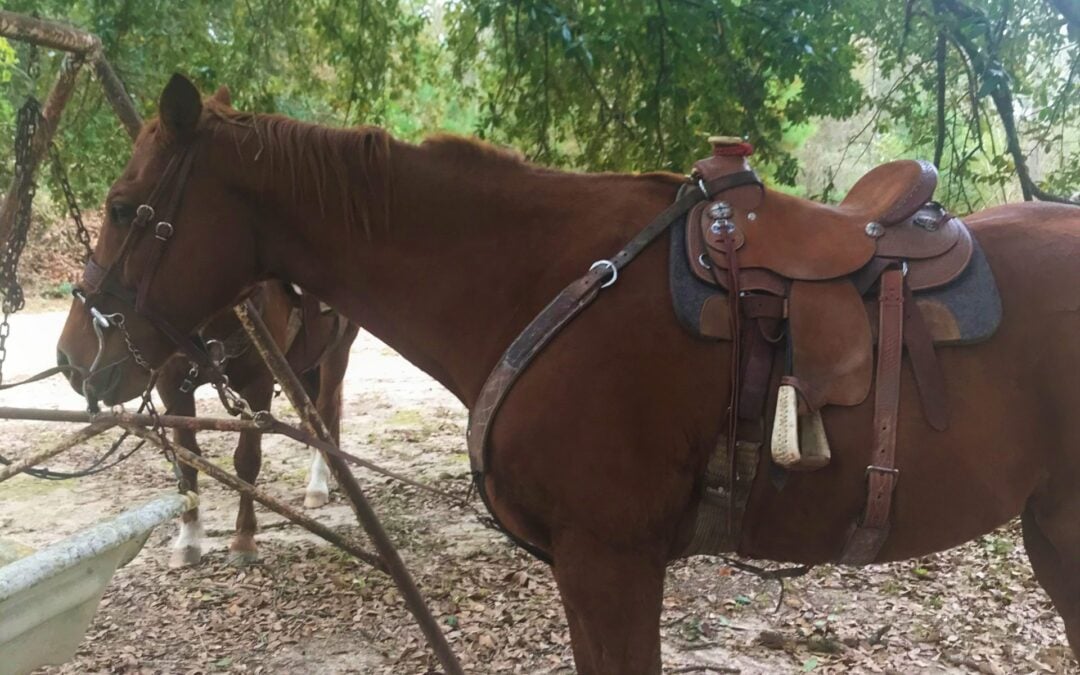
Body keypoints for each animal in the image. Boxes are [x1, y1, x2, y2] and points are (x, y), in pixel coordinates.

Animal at [154, 280, 358, 567]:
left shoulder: (258, 383)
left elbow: (247, 459)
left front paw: (243, 539)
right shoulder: (171, 383)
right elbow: (187, 456)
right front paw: (188, 540)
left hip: (337, 353)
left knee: (325, 412)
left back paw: (317, 485)